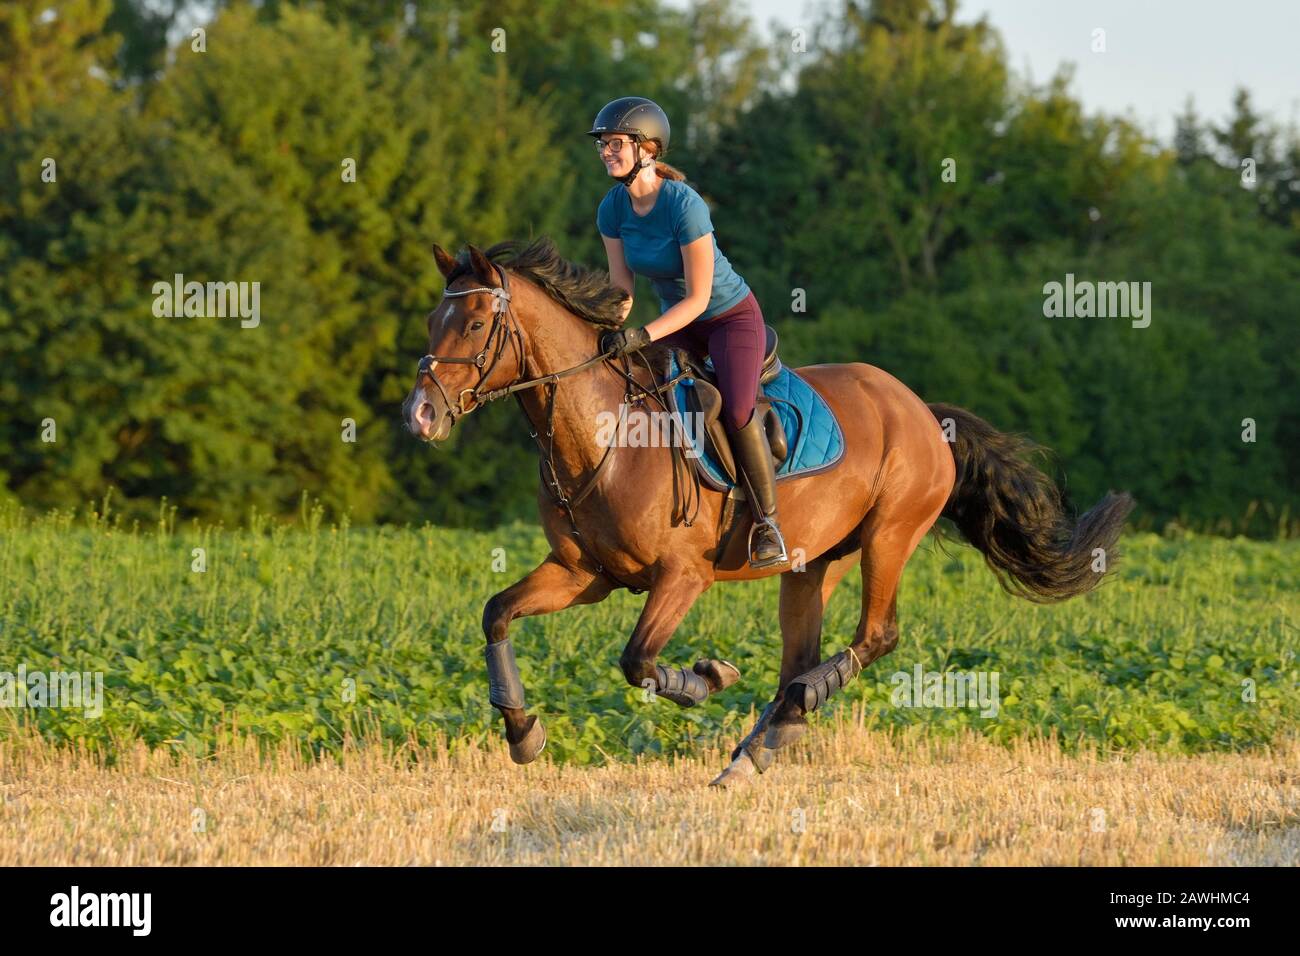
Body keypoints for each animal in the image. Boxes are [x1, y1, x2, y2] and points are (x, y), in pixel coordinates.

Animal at [402, 237, 1135, 787]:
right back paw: (756, 748)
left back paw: (791, 711)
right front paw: (524, 734)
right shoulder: (585, 574)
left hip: (890, 536)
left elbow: (637, 661)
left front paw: (707, 677)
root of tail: (925, 413)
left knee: (876, 636)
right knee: (799, 655)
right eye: (432, 323)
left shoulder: (682, 576)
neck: (602, 434)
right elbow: (497, 613)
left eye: (474, 324)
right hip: (815, 564)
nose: (420, 416)